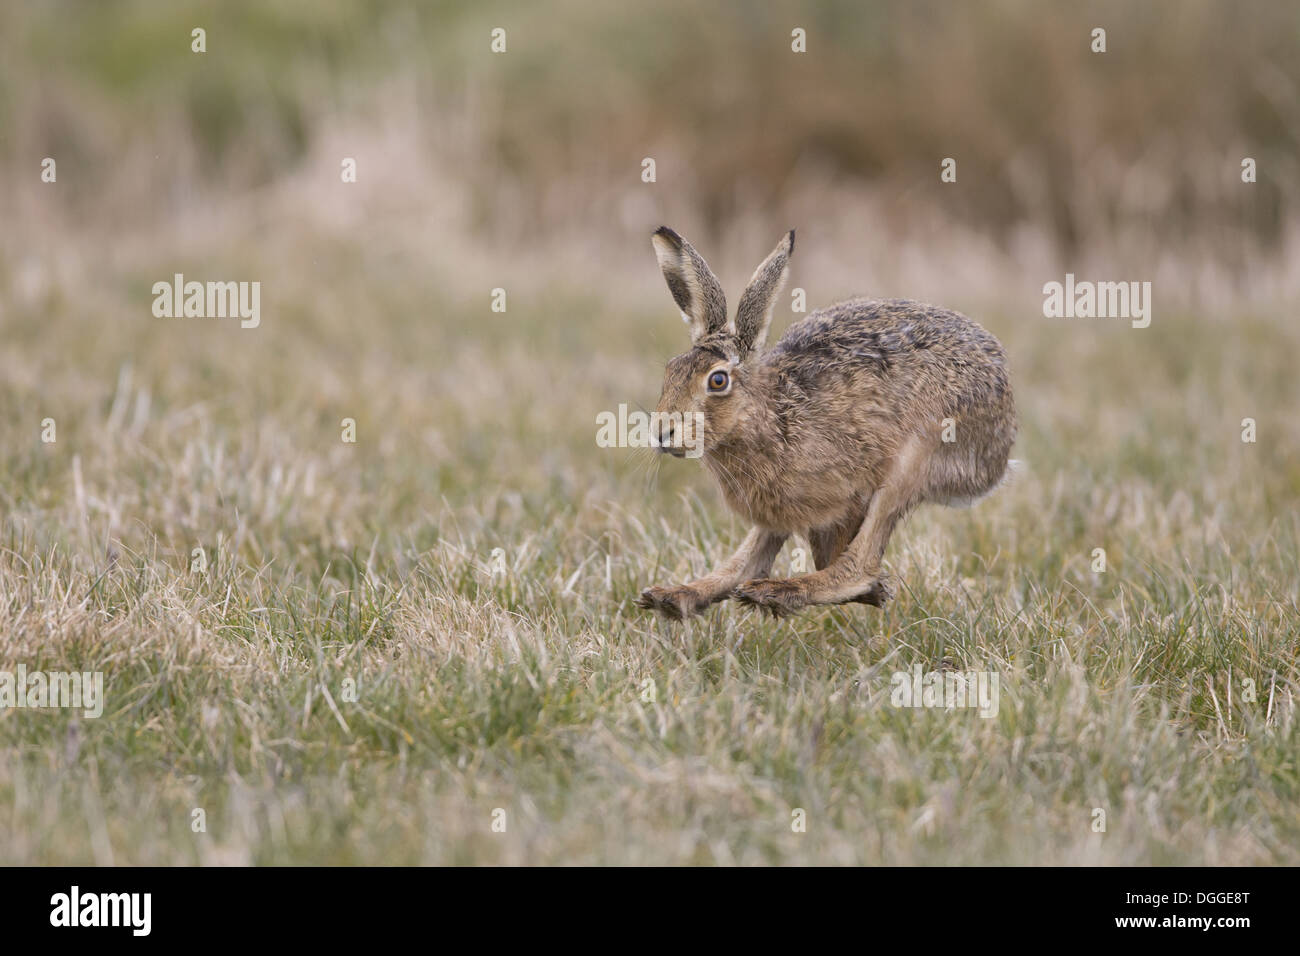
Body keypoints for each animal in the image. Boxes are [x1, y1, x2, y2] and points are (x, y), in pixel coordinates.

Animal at [636, 226, 1018, 619]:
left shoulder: (852, 493)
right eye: (671, 370)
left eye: (717, 380)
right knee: (752, 562)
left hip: (916, 458)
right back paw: (675, 596)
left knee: (858, 565)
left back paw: (781, 591)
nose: (662, 432)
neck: (770, 416)